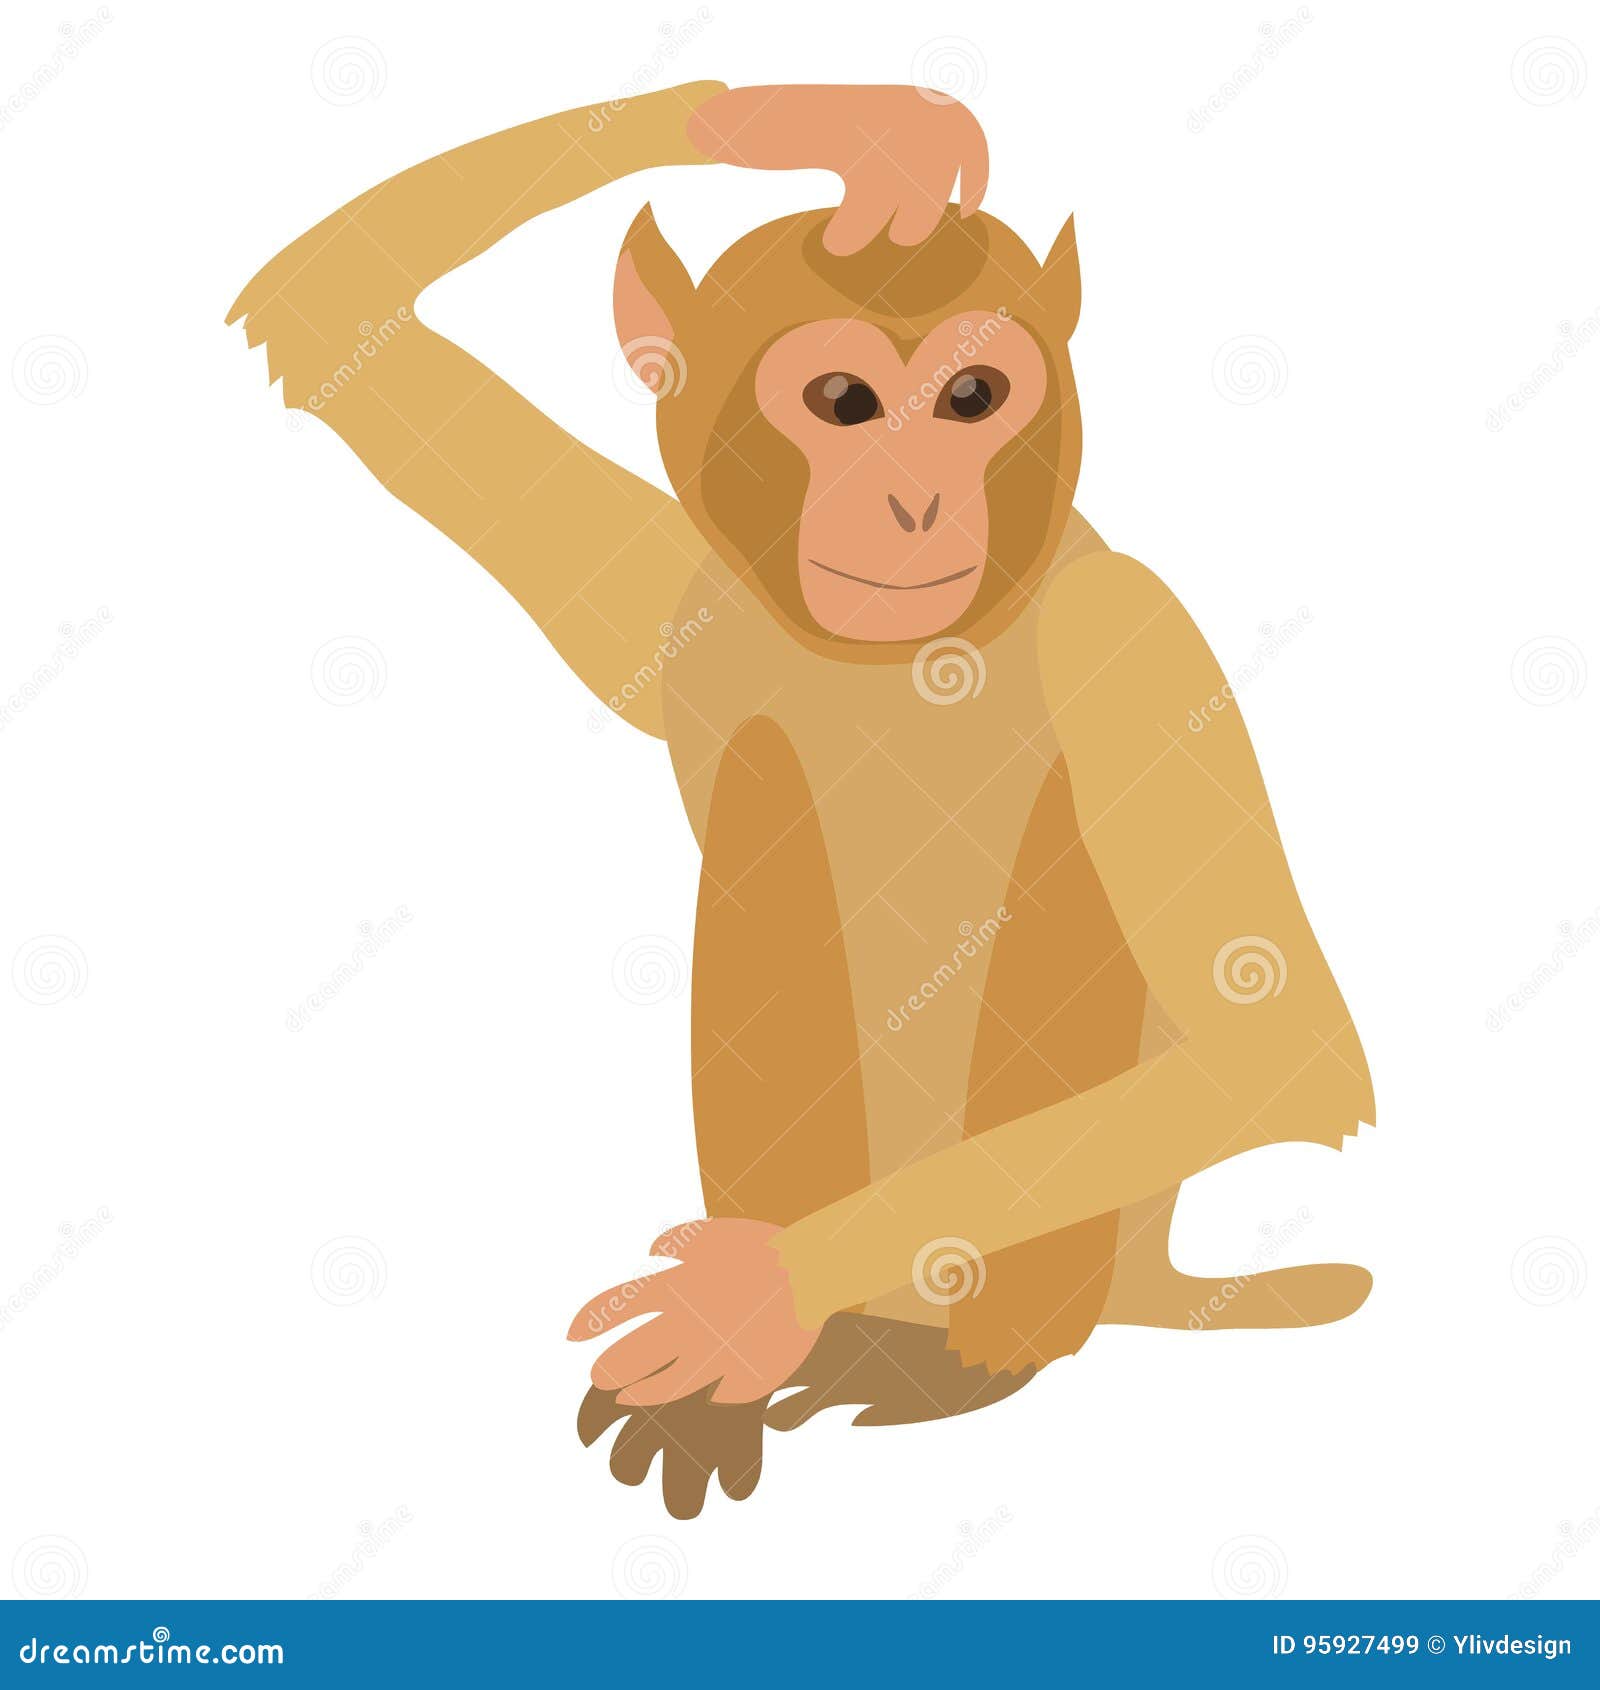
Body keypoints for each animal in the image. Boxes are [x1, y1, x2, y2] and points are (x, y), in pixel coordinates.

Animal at [229, 81, 1375, 1520]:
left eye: (971, 395)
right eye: (840, 400)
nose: (917, 498)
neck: (915, 659)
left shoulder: (1134, 631)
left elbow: (1281, 1051)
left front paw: (753, 1303)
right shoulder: (681, 590)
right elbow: (333, 315)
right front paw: (834, 124)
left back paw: (936, 1354)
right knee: (767, 801)